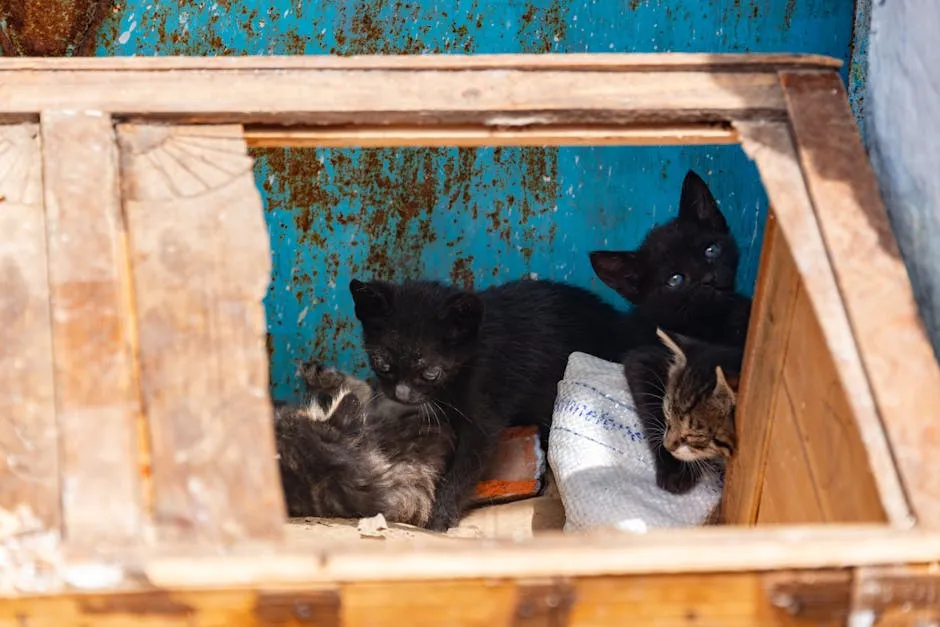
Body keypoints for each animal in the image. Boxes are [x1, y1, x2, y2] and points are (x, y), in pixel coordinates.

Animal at [348, 278, 636, 528]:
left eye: (431, 373)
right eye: (382, 365)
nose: (402, 394)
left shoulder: (485, 404)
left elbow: (467, 463)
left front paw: (440, 517)